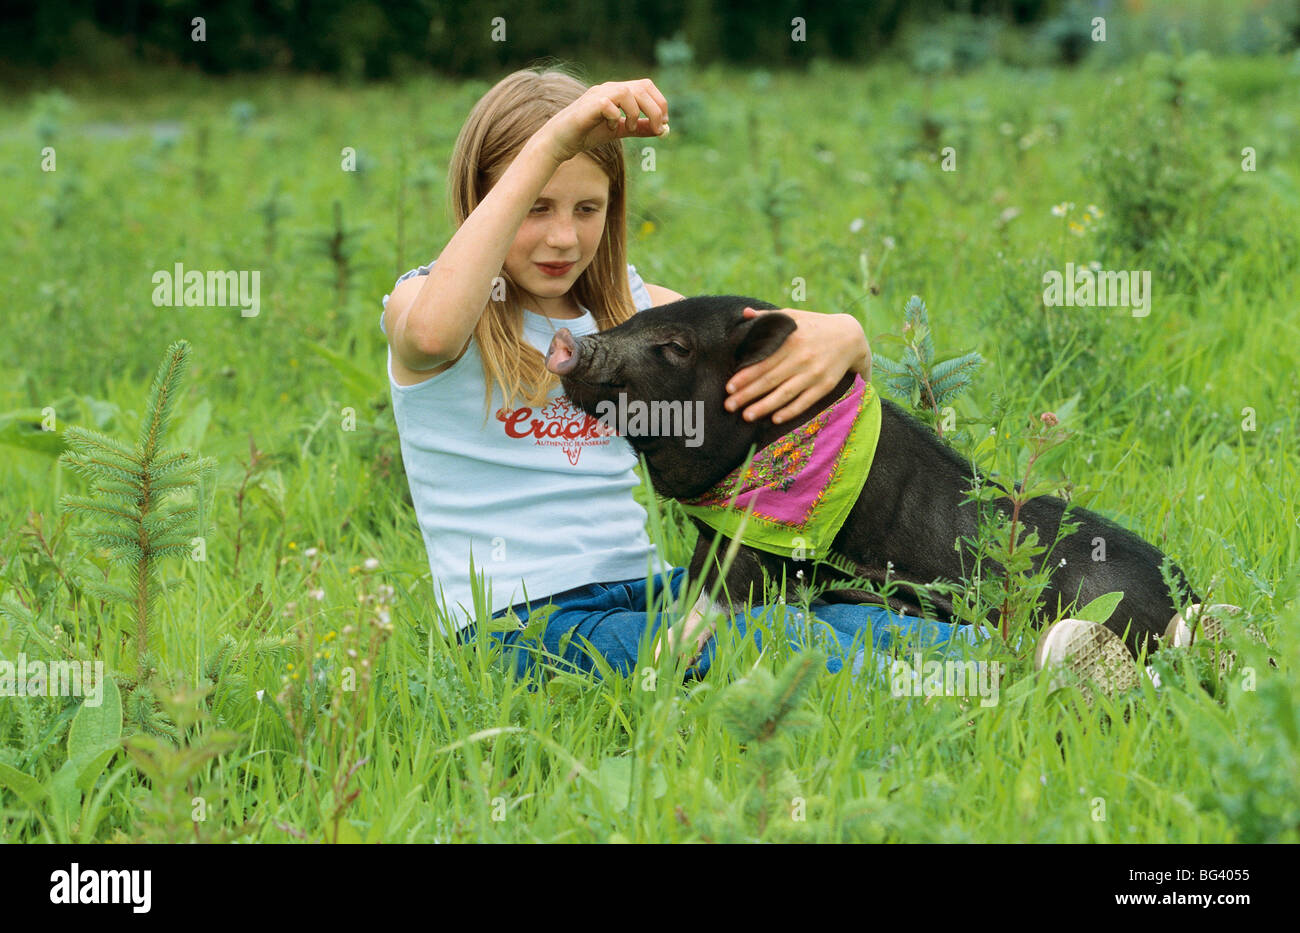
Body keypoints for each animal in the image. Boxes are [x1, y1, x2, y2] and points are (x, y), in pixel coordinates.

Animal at [544, 295, 1201, 659]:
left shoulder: (751, 548)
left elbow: (710, 606)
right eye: (635, 317)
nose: (568, 340)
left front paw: (657, 667)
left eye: (676, 346)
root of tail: (1185, 594)